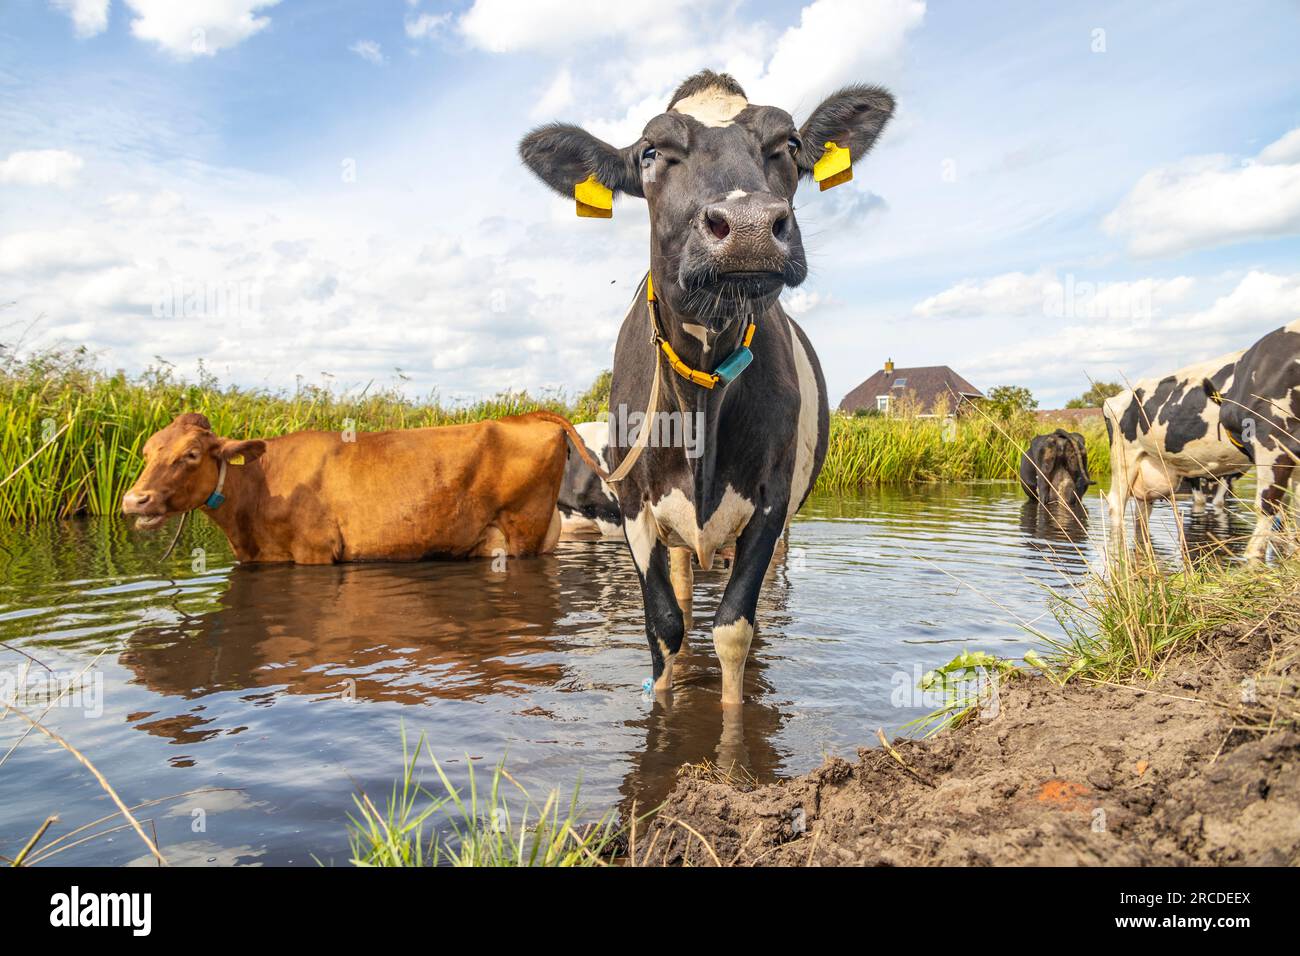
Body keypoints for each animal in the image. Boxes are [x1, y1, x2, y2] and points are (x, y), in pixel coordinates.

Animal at [122, 411, 604, 564]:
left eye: (191, 454)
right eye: (146, 451)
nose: (133, 499)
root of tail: (525, 416)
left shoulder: (314, 551)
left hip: (524, 529)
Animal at [519, 70, 894, 704]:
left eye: (790, 144)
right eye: (650, 152)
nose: (748, 228)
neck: (700, 396)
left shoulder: (770, 504)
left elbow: (734, 632)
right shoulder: (634, 507)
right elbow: (664, 628)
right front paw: (664, 705)